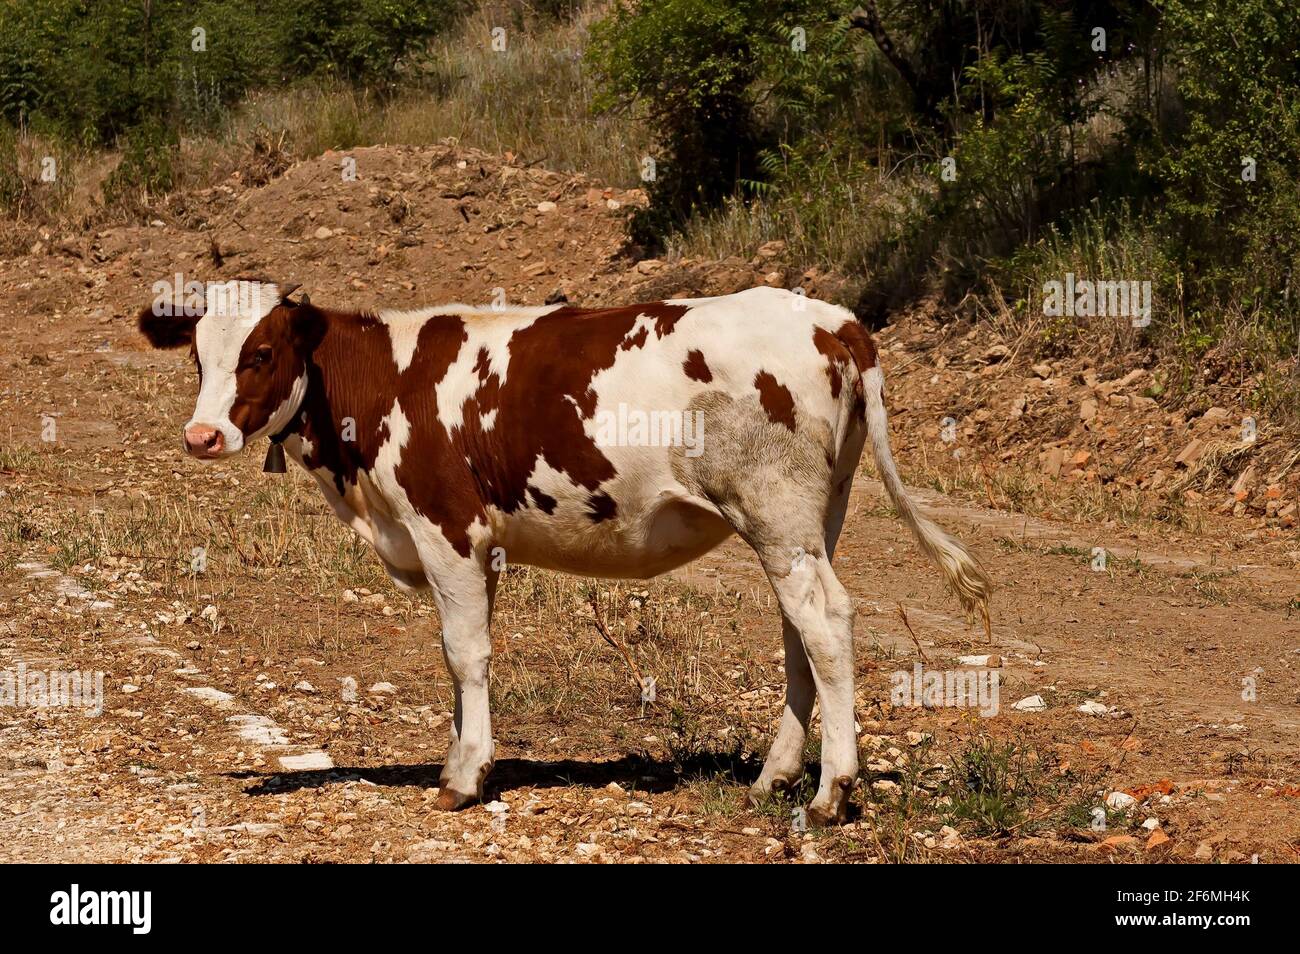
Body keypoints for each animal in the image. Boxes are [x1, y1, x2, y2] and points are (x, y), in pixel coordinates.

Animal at [139, 279, 990, 824]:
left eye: (262, 353)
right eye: (200, 358)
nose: (201, 435)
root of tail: (829, 315)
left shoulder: (446, 526)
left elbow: (465, 653)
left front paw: (466, 778)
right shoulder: (476, 545)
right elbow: (462, 655)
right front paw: (463, 757)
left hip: (777, 511)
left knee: (828, 627)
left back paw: (830, 791)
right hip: (815, 518)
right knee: (798, 634)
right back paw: (775, 776)